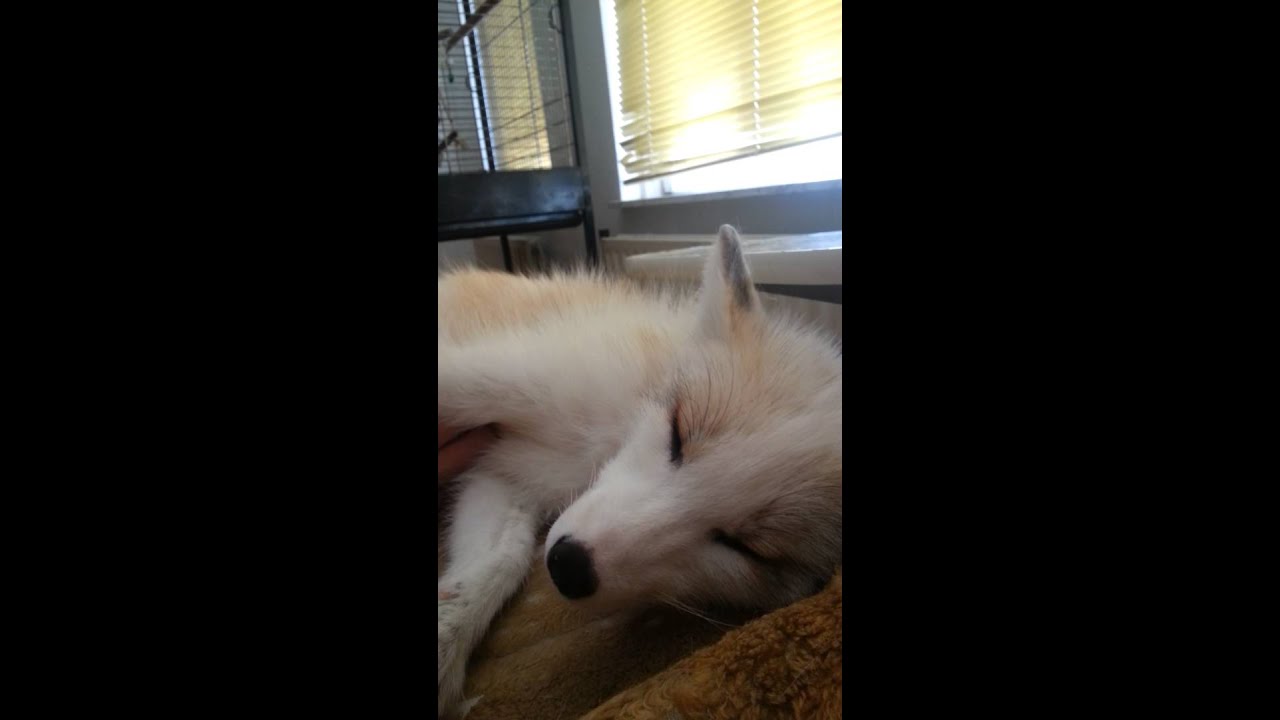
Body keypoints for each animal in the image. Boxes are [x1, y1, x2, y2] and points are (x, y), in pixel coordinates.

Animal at [437, 225, 842, 717]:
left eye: (746, 549)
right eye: (677, 433)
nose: (567, 567)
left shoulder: (503, 471)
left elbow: (495, 564)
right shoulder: (495, 385)